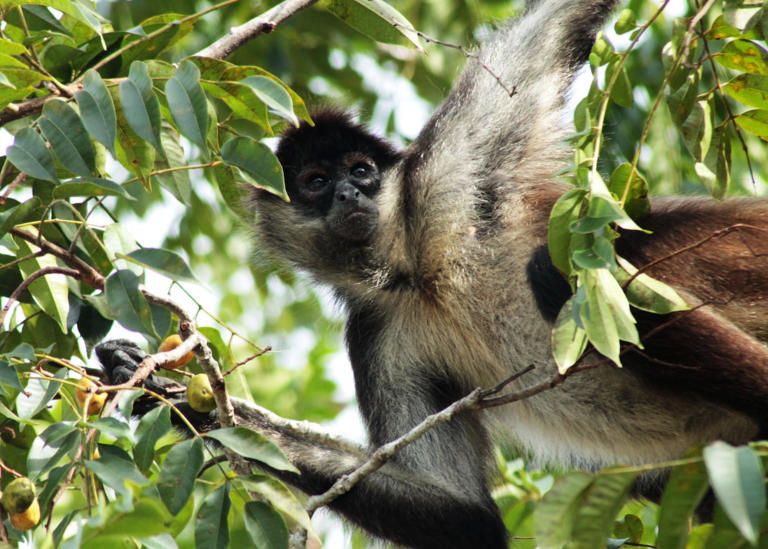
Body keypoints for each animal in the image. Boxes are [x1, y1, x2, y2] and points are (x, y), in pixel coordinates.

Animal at [96, 0, 768, 547]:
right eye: (315, 182)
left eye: (361, 170)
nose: (348, 194)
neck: (415, 273)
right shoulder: (375, 328)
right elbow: (465, 515)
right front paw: (167, 393)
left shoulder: (449, 170)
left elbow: (556, 25)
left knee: (558, 270)